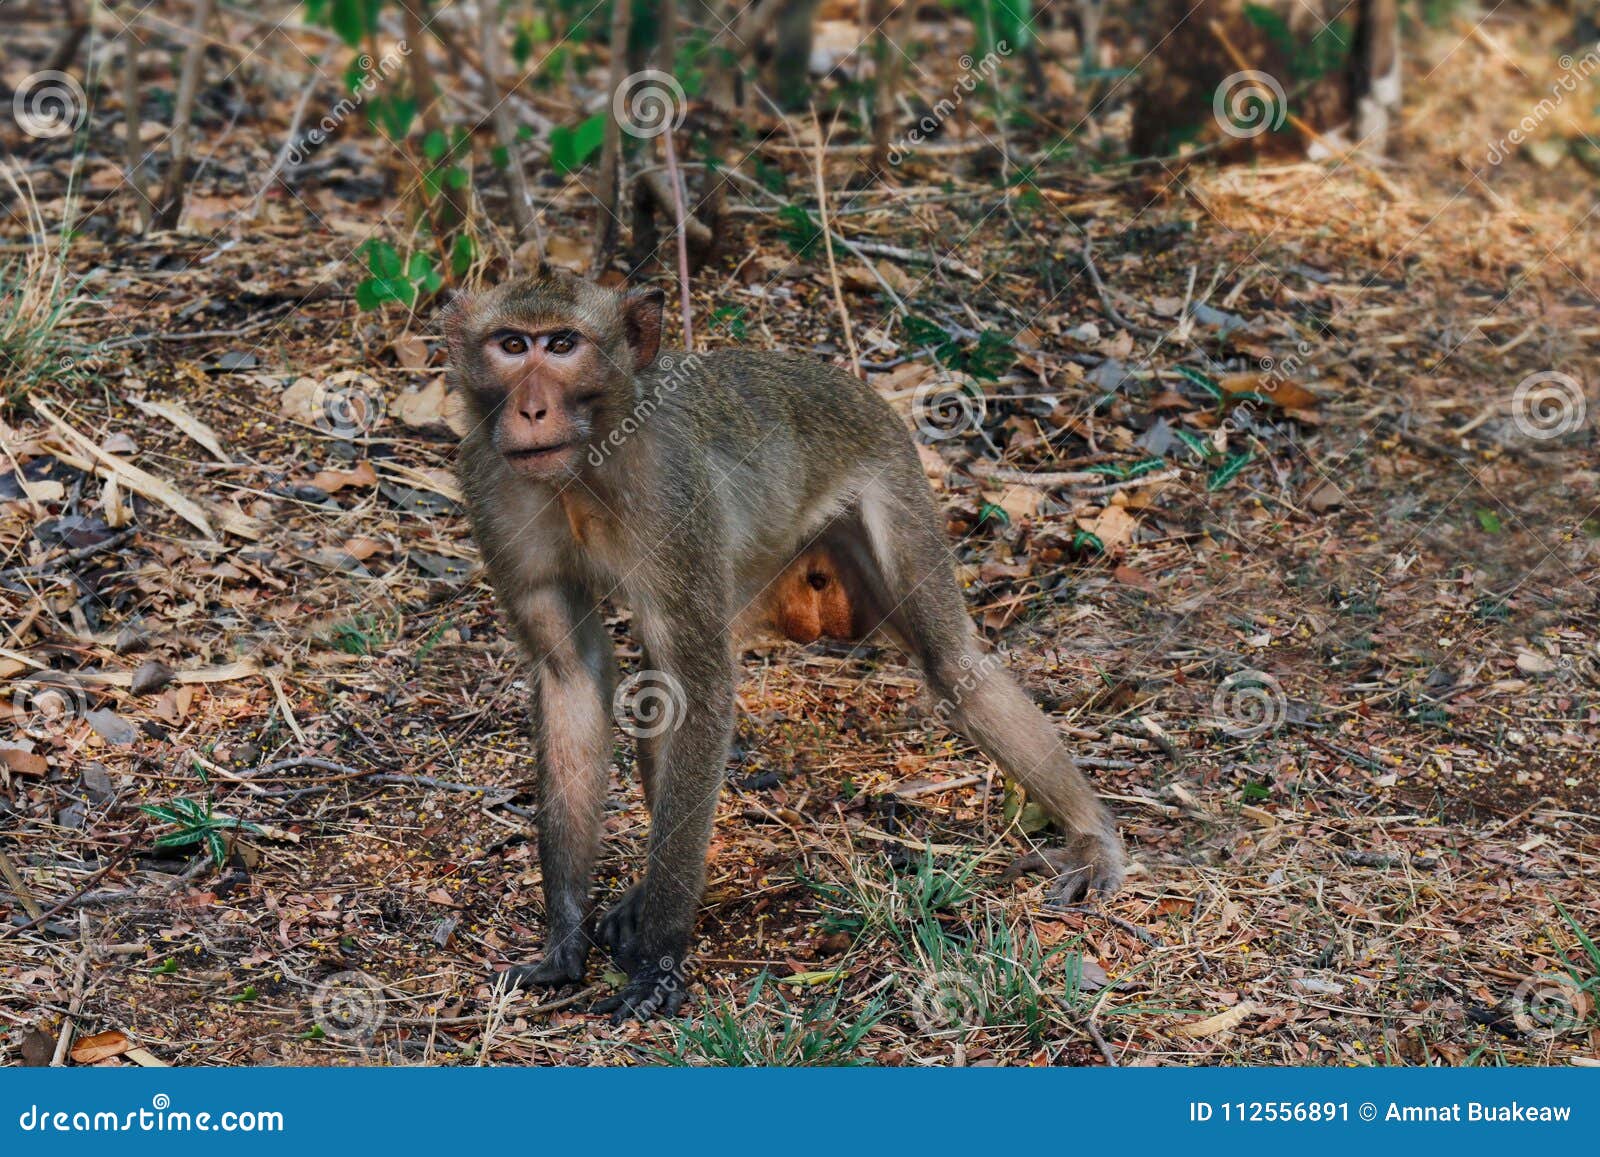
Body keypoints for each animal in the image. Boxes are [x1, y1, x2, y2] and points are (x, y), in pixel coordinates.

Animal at [446, 268, 1125, 1021]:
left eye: (563, 345)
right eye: (512, 345)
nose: (532, 409)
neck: (586, 465)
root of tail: (840, 378)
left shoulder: (671, 492)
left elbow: (700, 690)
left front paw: (658, 962)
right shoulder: (491, 484)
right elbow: (572, 674)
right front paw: (565, 934)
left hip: (886, 479)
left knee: (951, 662)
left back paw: (1091, 838)